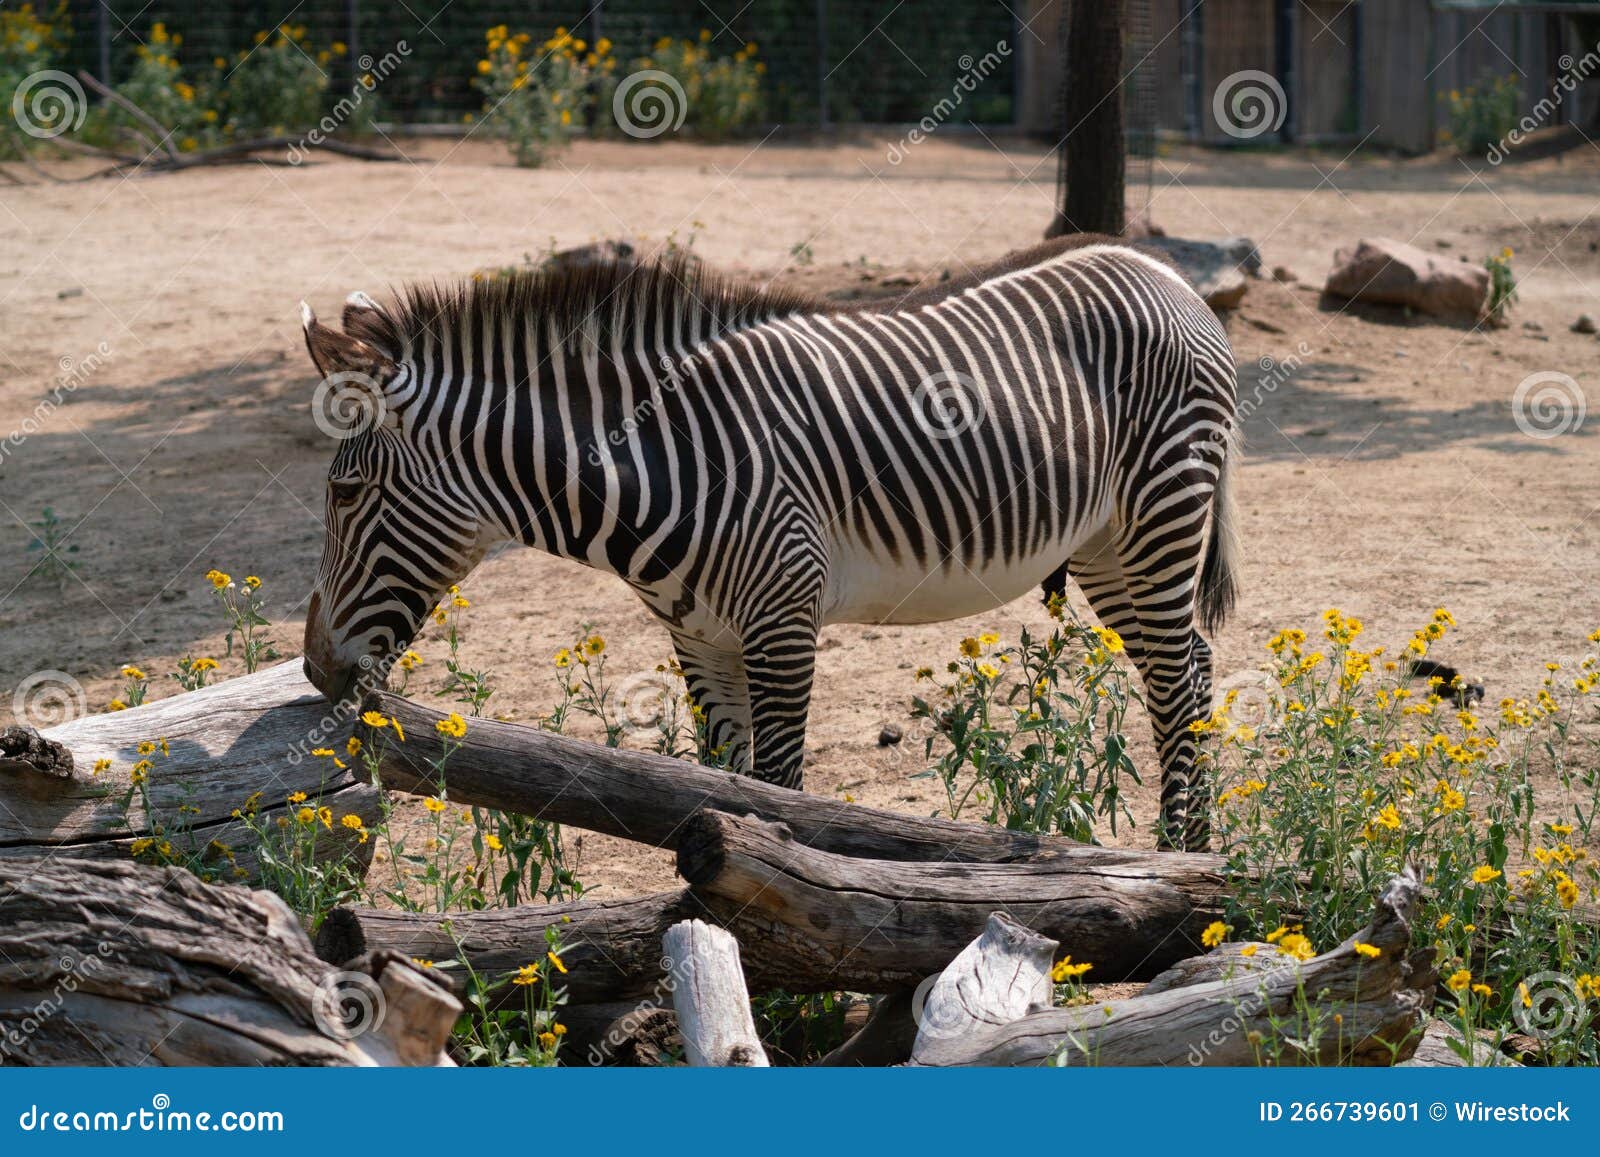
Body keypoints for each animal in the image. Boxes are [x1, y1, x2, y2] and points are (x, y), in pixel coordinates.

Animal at [299, 235, 1239, 850]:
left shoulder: (782, 620)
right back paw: (1194, 850)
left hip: (1161, 509)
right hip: (1107, 543)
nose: (314, 669)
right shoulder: (700, 639)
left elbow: (780, 786)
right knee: (1190, 665)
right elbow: (719, 784)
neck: (660, 462)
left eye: (344, 493)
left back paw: (1179, 857)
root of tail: (1163, 271)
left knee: (1175, 681)